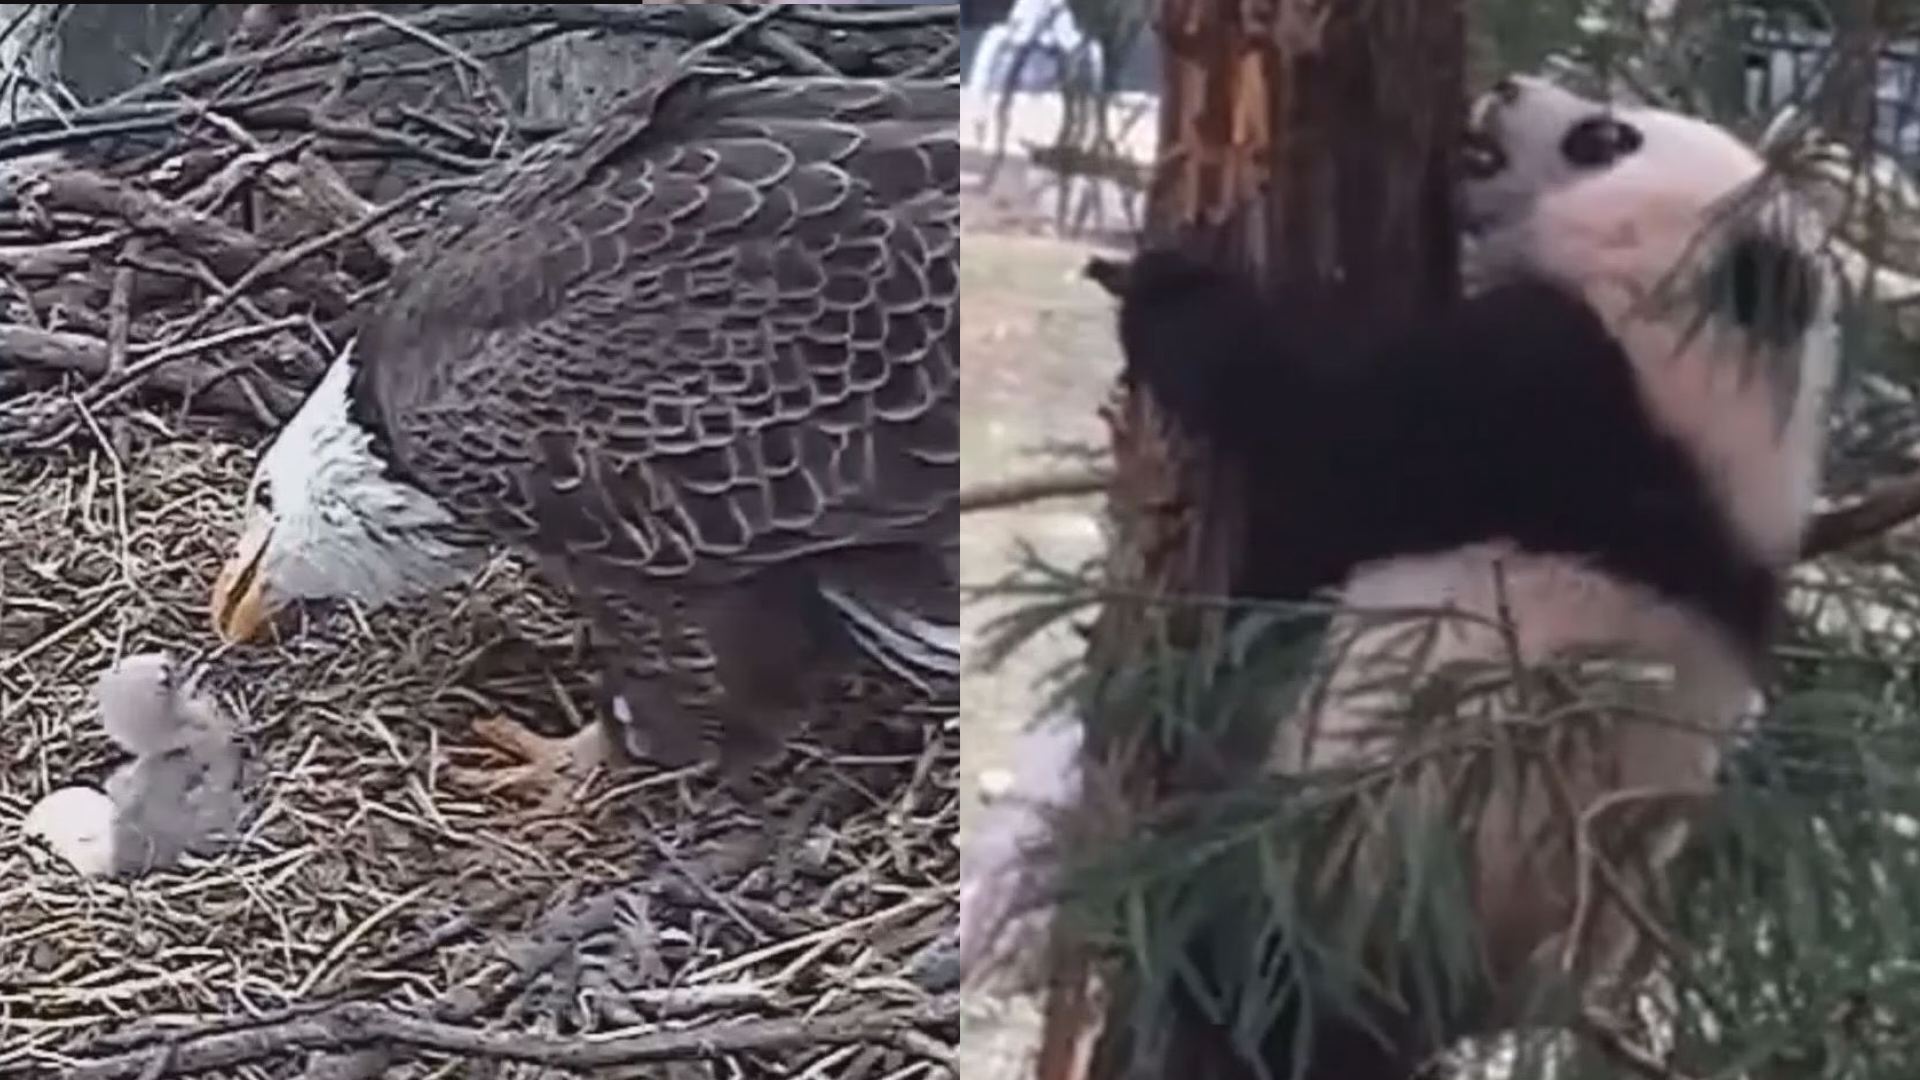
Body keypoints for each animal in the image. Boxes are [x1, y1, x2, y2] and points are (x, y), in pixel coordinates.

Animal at [1102, 76, 1840, 1077]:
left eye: (1603, 139)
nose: (1509, 87)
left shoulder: (1563, 405)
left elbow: (1328, 419)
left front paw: (1166, 293)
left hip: (1359, 858)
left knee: (1235, 933)